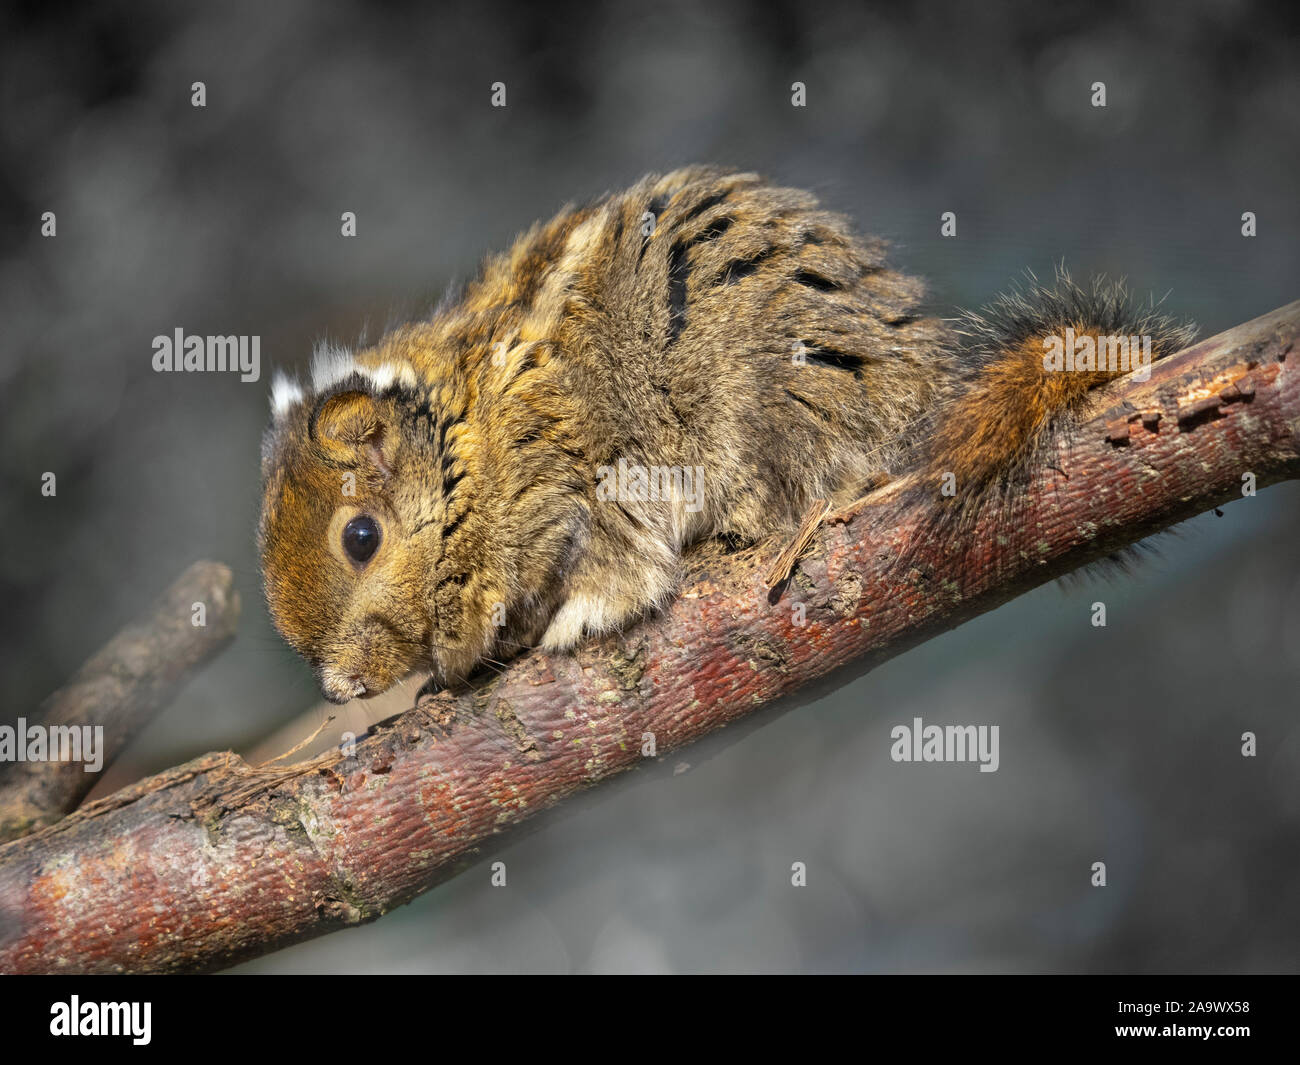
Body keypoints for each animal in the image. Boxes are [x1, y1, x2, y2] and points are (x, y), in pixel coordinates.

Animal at [258, 166, 1194, 703]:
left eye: (361, 538)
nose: (339, 687)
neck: (469, 434)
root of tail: (923, 382)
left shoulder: (573, 476)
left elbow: (614, 569)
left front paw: (560, 623)